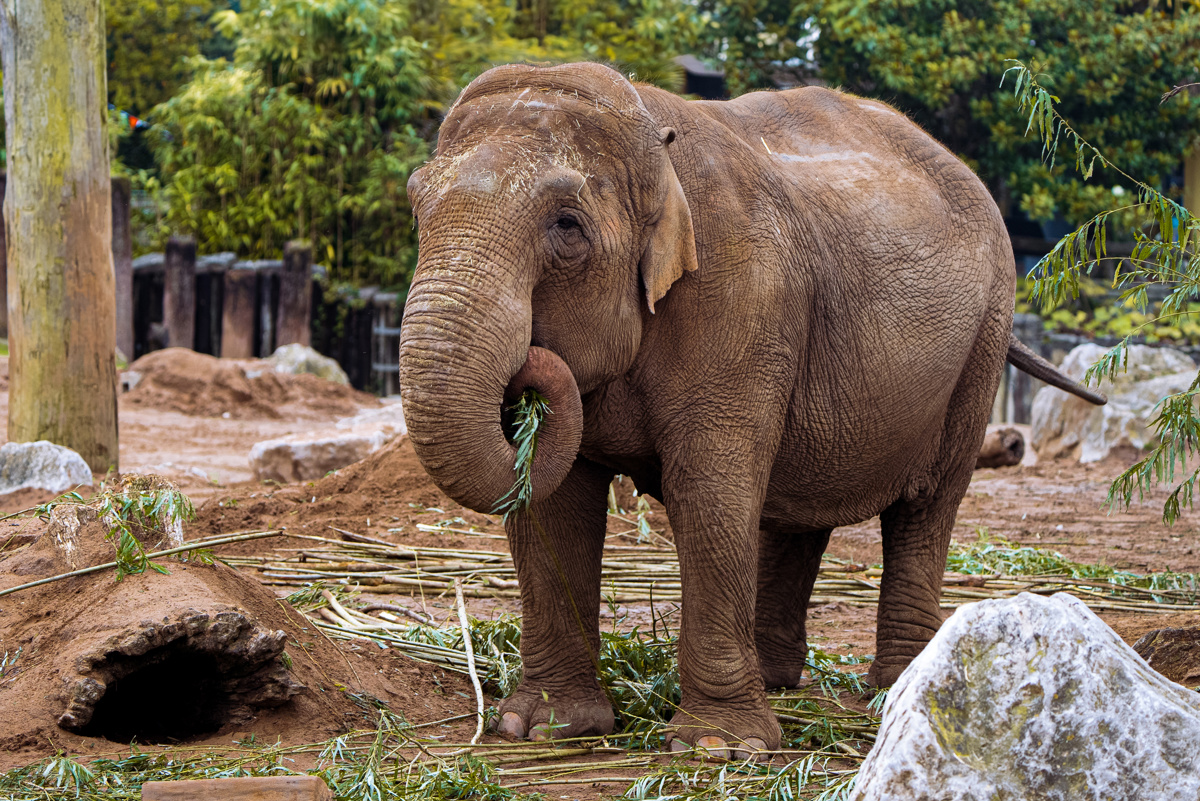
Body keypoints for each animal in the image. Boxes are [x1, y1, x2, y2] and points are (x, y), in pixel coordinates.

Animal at [398, 62, 1105, 756]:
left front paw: (719, 748)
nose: (529, 367)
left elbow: (708, 491)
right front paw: (544, 728)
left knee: (926, 505)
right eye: (416, 207)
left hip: (984, 337)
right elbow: (553, 504)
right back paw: (777, 679)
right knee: (801, 506)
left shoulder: (742, 297)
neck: (656, 145)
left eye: (567, 225)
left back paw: (895, 689)